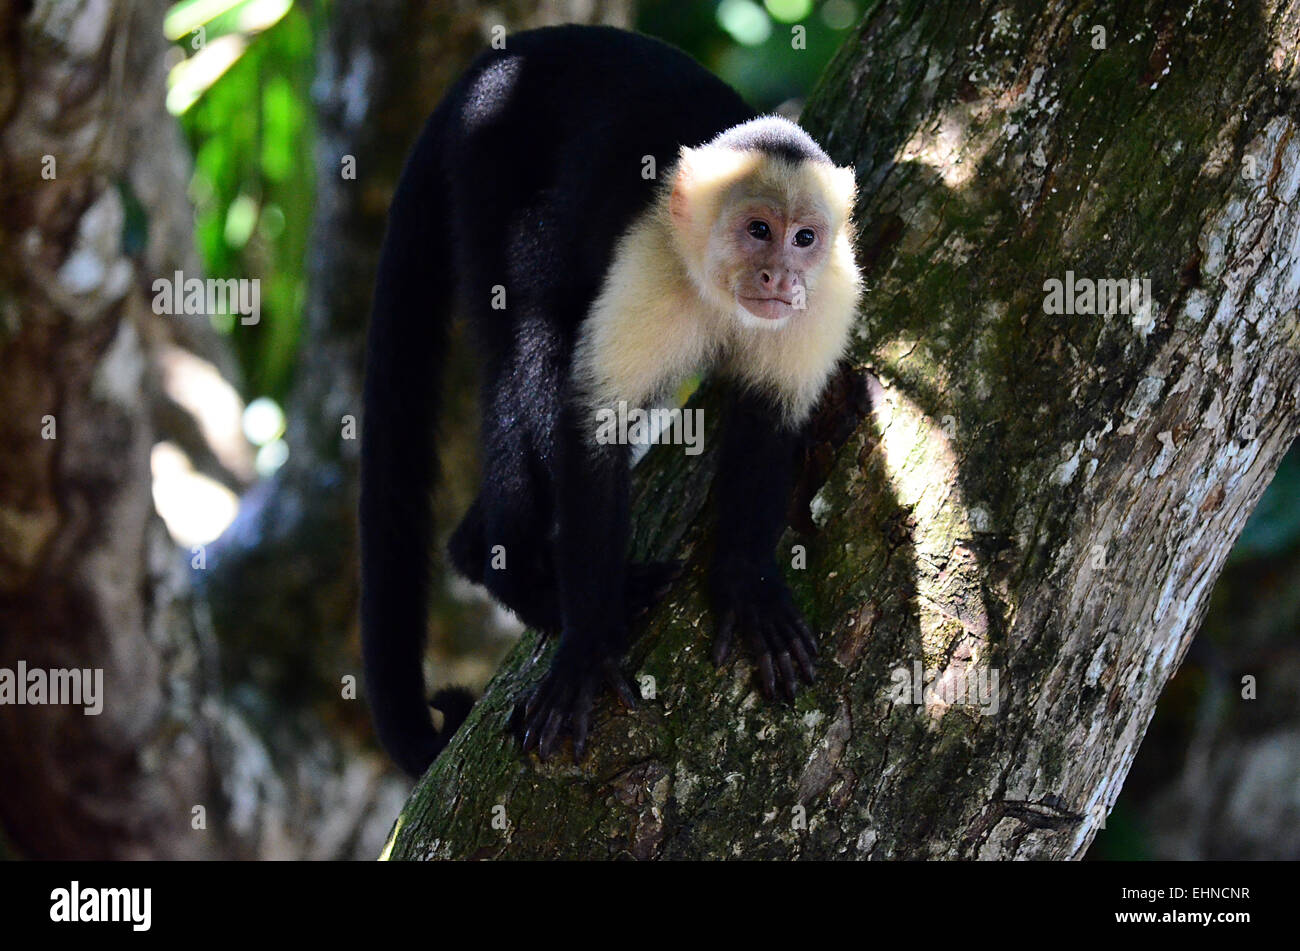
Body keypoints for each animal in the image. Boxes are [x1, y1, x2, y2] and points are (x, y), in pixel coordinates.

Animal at [360, 25, 861, 777]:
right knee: (535, 332)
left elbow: (769, 417)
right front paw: (589, 649)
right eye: (758, 230)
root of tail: (505, 57)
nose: (779, 275)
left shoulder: (827, 296)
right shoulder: (650, 262)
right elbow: (594, 422)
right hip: (488, 154)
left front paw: (748, 584)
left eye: (805, 237)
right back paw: (502, 562)